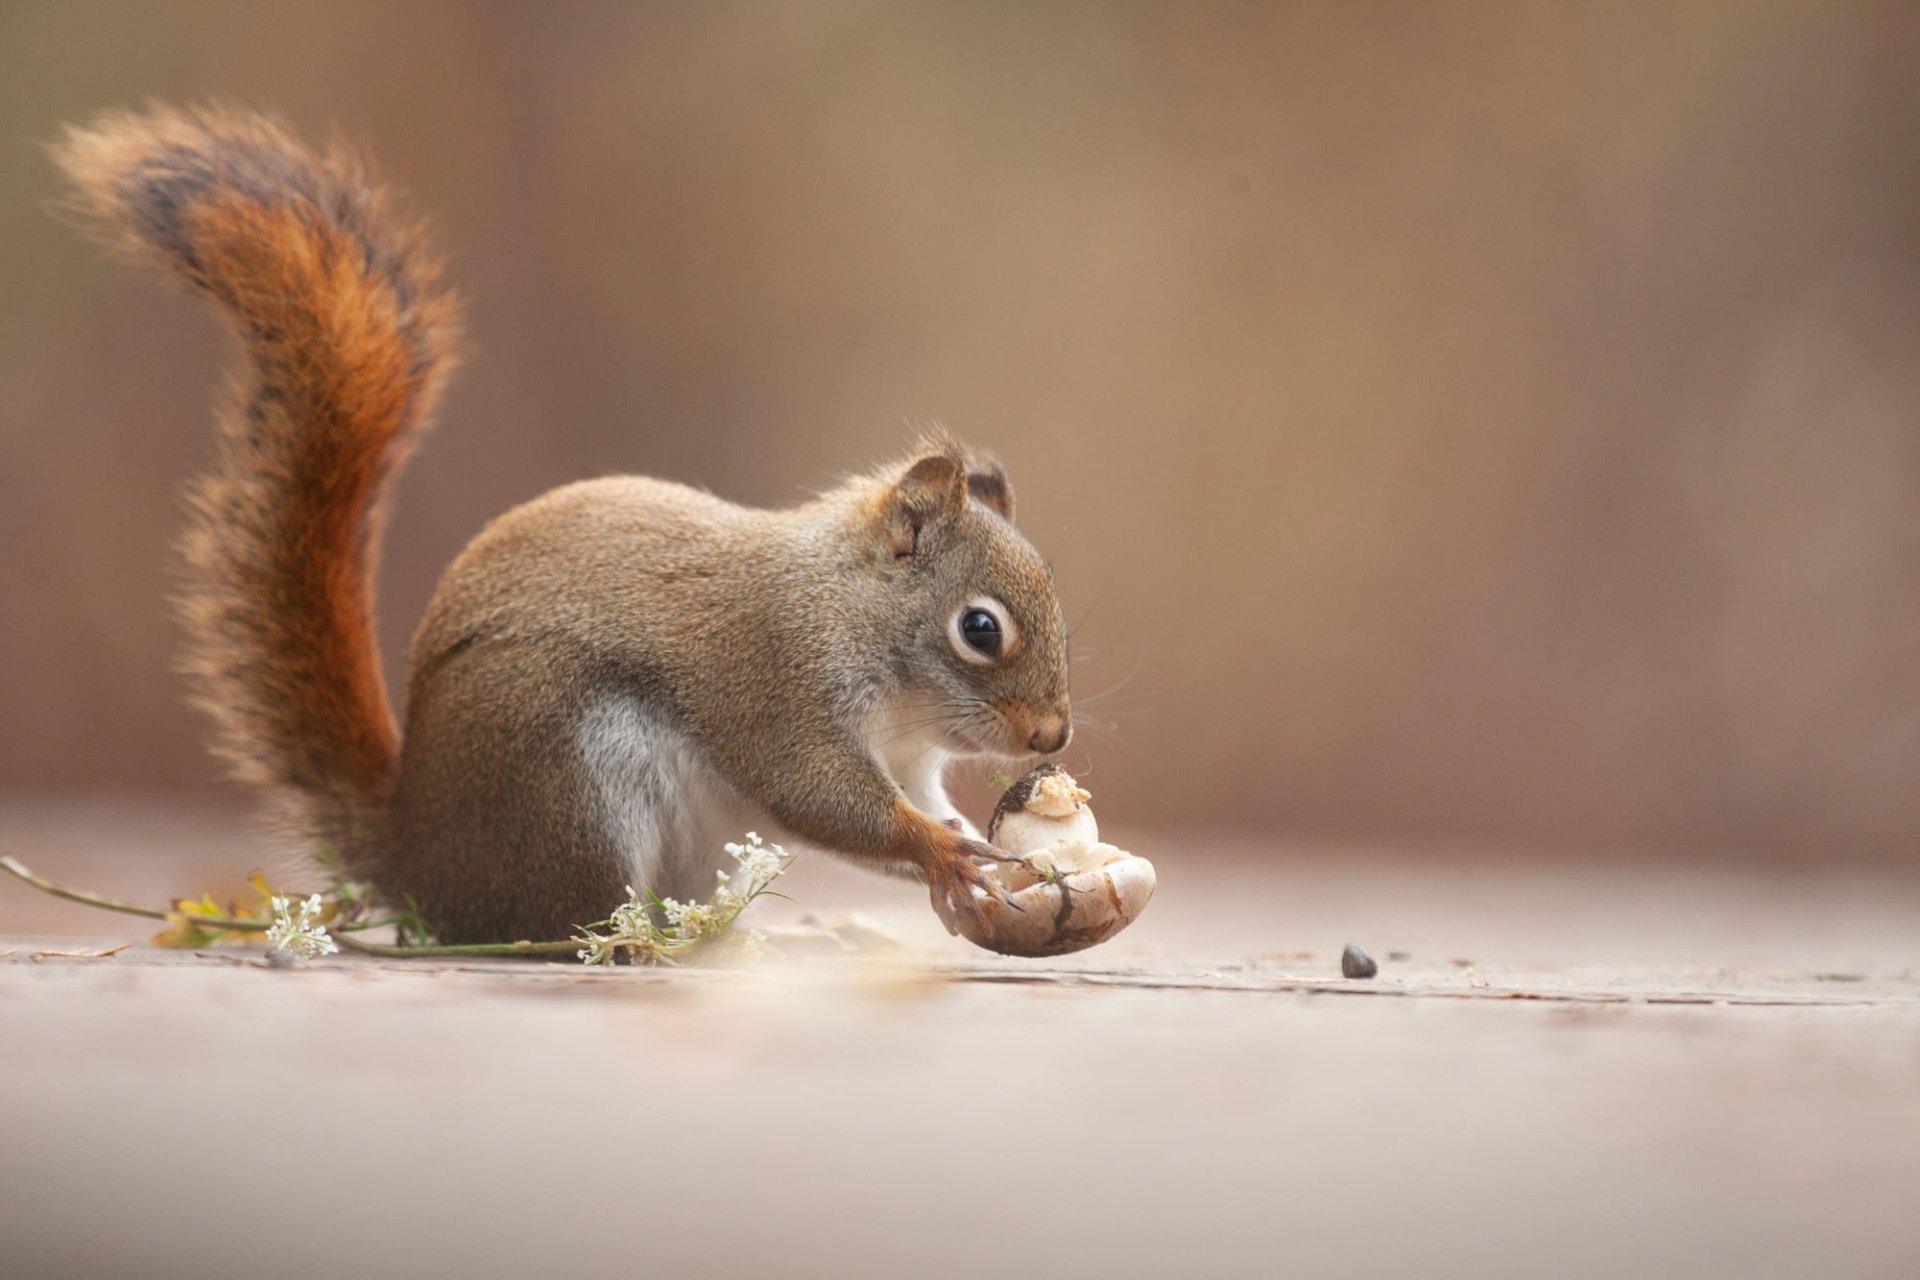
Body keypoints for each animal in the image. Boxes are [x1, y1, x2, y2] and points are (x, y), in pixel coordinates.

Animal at [52, 104, 1072, 945]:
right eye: (980, 629)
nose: (1053, 740)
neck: (858, 622)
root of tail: (425, 862)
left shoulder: (910, 759)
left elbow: (915, 806)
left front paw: (967, 860)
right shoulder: (776, 680)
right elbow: (819, 795)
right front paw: (946, 855)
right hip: (571, 786)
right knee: (557, 925)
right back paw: (641, 944)